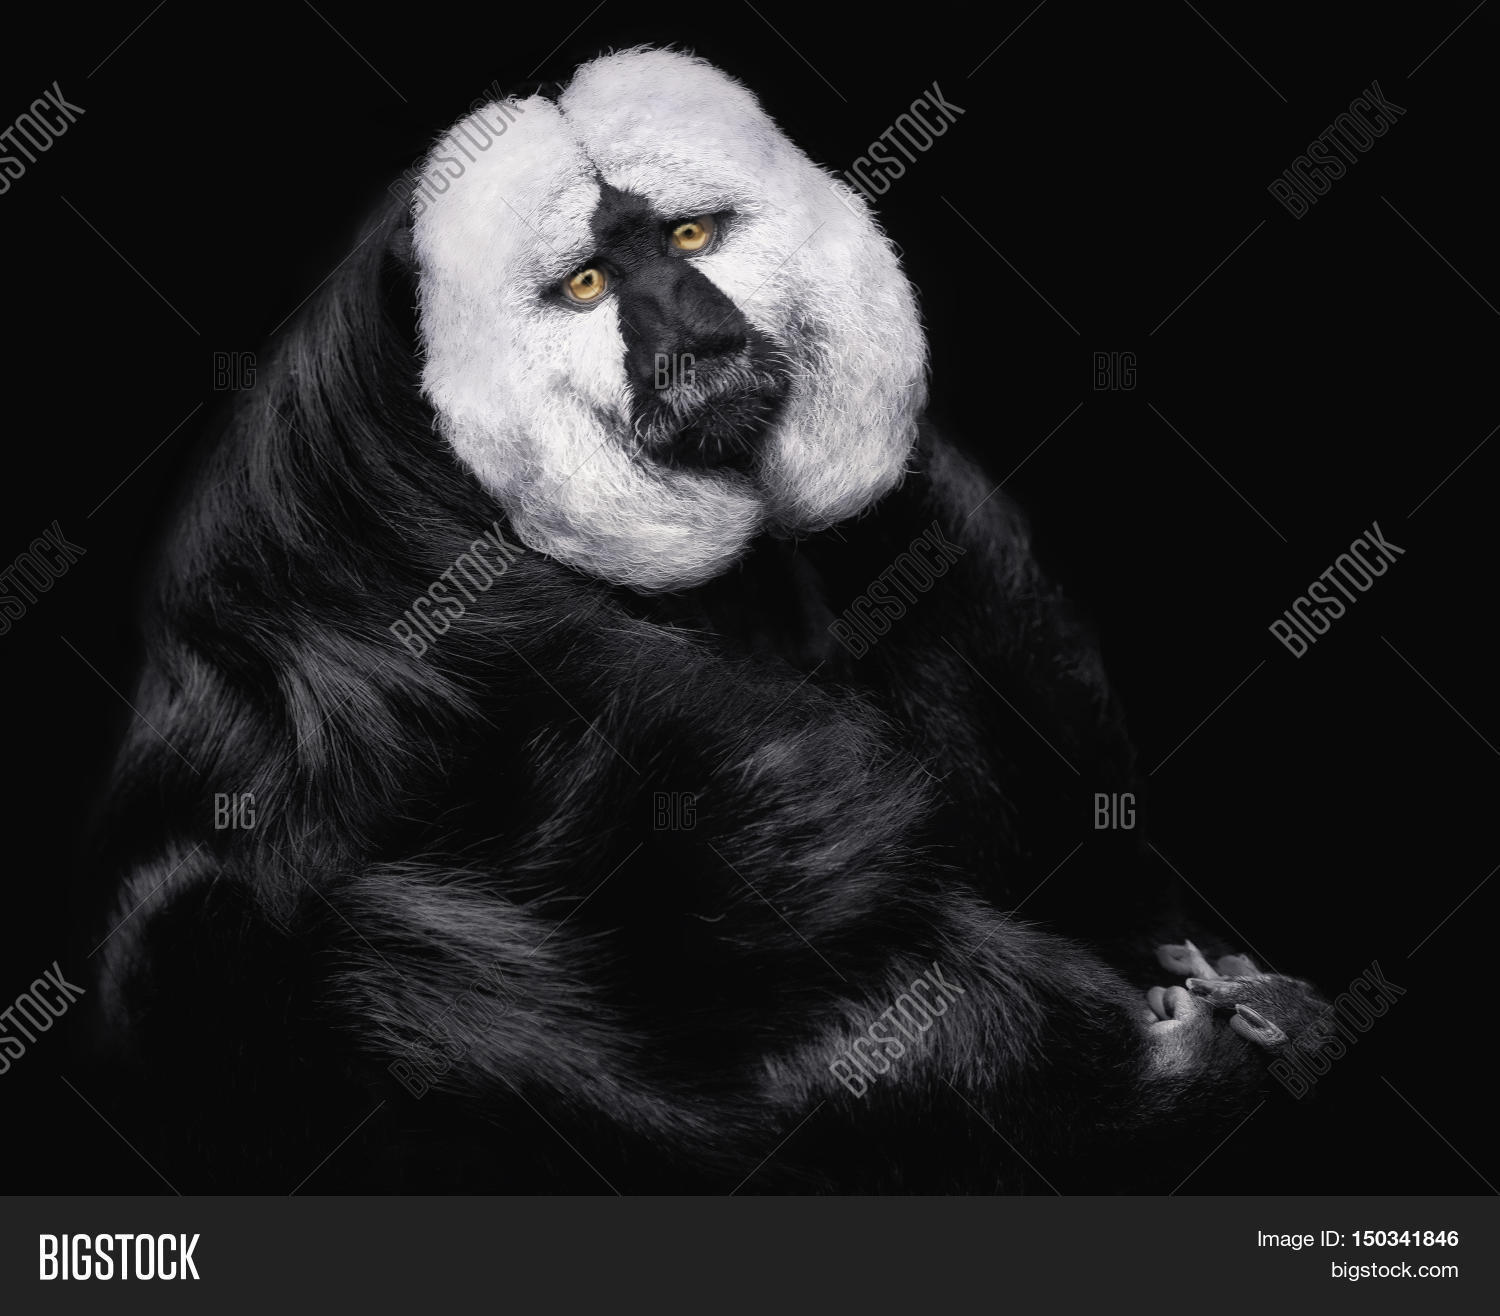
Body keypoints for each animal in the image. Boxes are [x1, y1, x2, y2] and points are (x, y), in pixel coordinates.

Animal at [78, 47, 1326, 1192]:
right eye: (588, 285)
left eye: (690, 241)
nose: (700, 334)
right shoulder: (388, 557)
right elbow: (771, 885)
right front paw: (1129, 1085)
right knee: (294, 944)